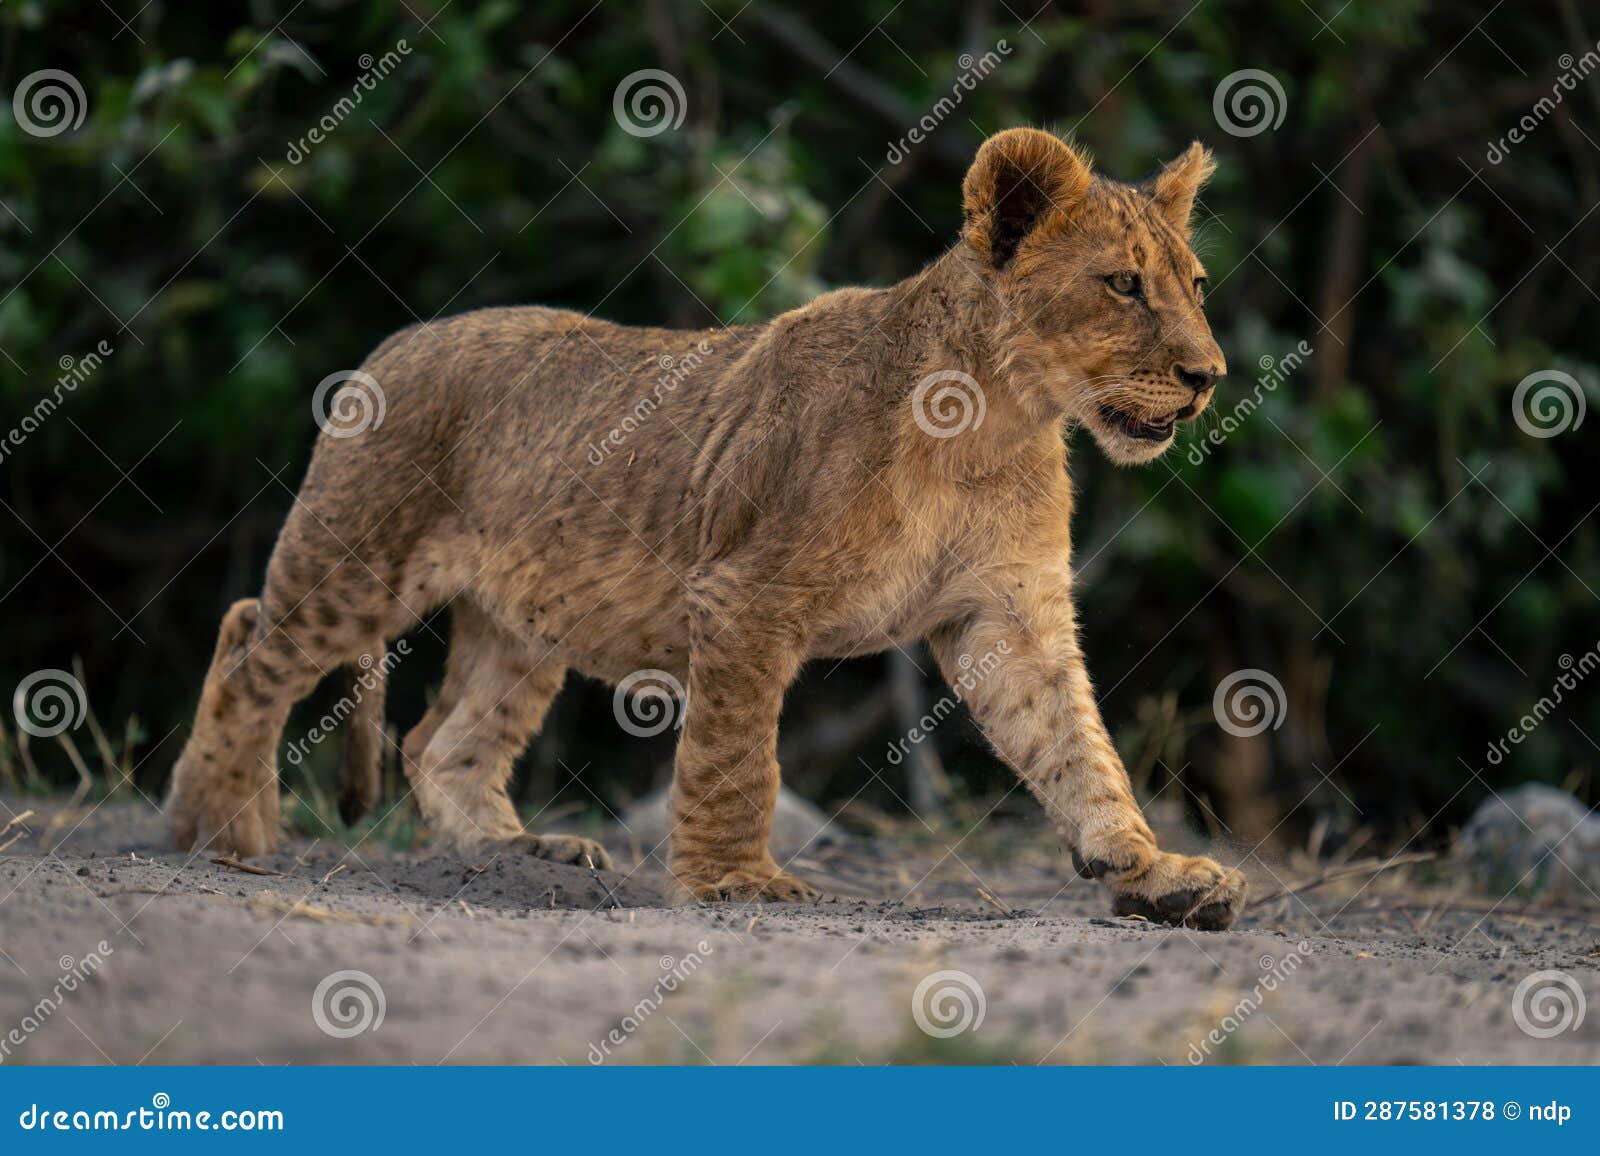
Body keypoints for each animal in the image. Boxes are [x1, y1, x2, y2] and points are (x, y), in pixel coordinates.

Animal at [165, 127, 1246, 929]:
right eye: (1122, 285)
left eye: (1197, 285)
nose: (1210, 377)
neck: (999, 421)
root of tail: (397, 340)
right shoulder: (745, 597)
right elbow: (736, 755)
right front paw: (733, 880)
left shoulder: (1004, 615)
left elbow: (1077, 749)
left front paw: (1153, 872)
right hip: (358, 562)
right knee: (249, 642)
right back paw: (217, 824)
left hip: (520, 621)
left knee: (441, 739)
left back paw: (521, 851)